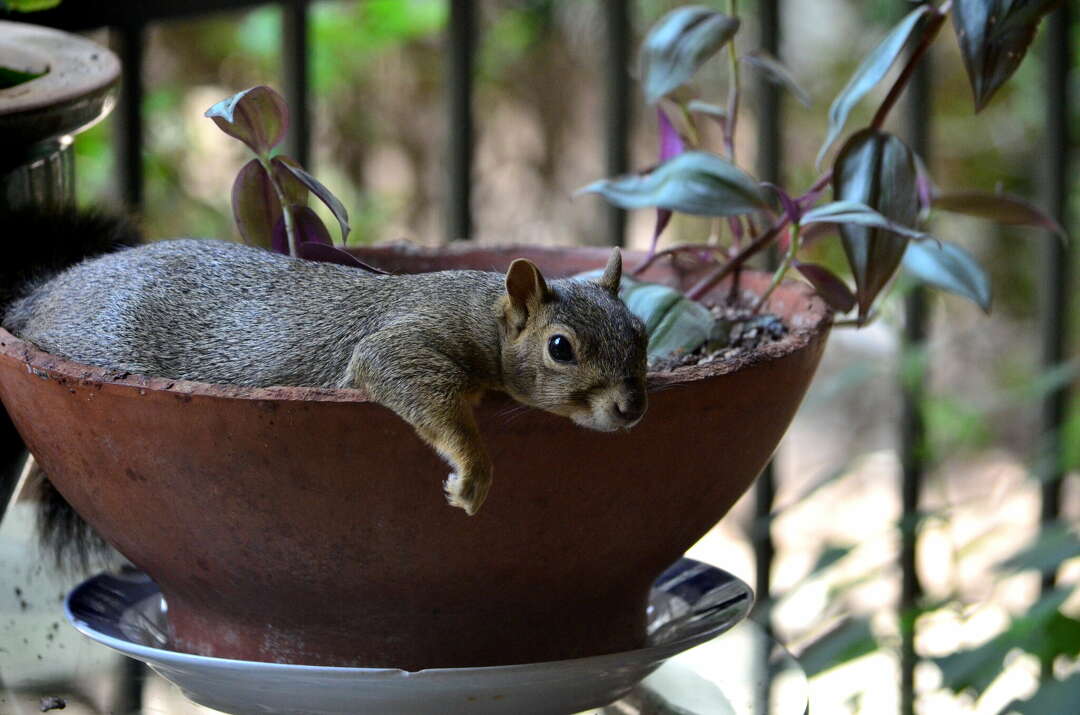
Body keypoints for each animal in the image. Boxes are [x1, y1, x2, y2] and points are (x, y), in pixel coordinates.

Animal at [0, 207, 648, 527]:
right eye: (560, 347)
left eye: (641, 331)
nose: (631, 408)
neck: (481, 312)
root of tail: (43, 296)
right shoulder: (404, 339)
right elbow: (411, 382)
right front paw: (473, 474)